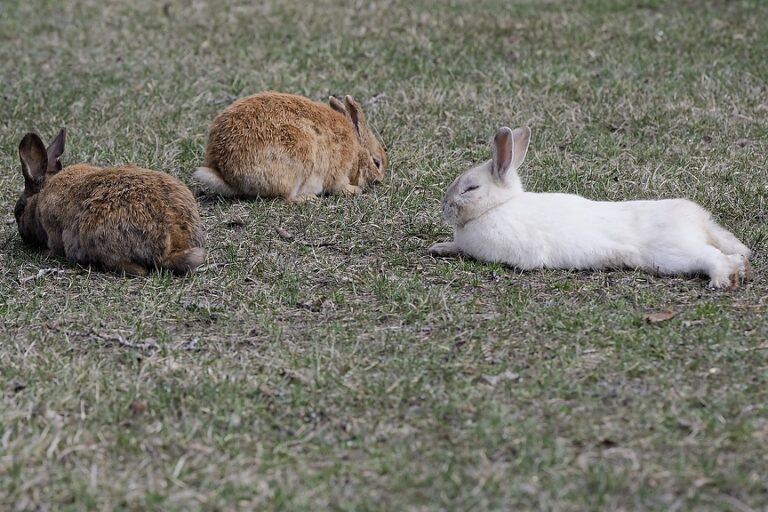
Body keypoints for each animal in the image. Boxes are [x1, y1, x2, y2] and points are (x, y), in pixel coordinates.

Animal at [193, 91, 387, 202]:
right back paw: (307, 198)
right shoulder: (338, 171)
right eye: (376, 162)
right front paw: (354, 190)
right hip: (297, 163)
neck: (357, 151)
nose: (379, 181)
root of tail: (223, 172)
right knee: (286, 197)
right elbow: (339, 186)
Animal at [429, 126, 752, 289]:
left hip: (675, 253)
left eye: (470, 189)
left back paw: (722, 280)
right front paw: (439, 247)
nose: (445, 207)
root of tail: (698, 220)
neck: (499, 206)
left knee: (714, 258)